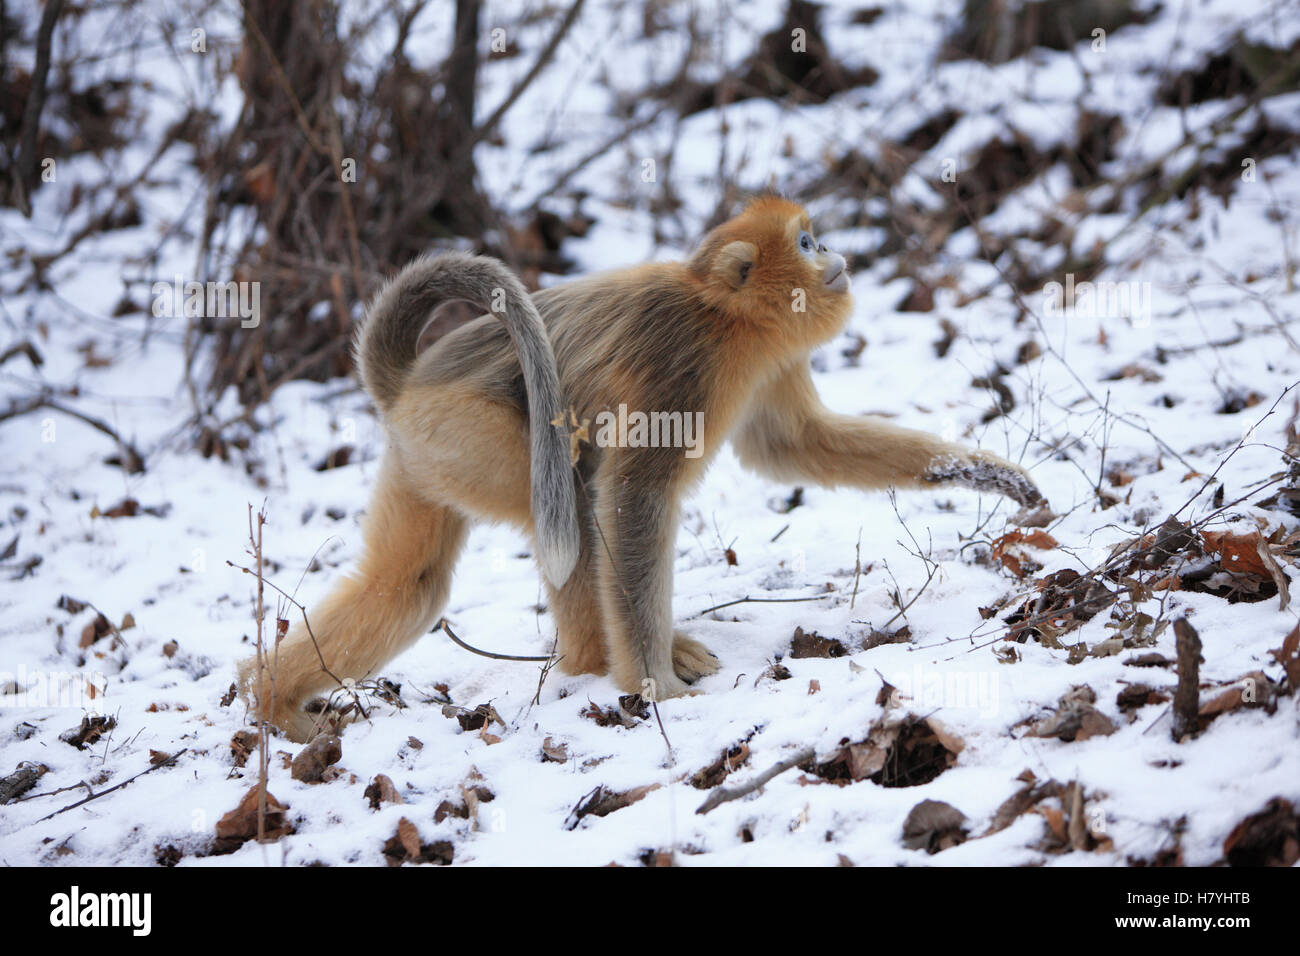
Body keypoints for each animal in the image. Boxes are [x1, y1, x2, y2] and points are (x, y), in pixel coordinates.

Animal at [239, 197, 1043, 742]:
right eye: (807, 241)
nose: (836, 258)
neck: (725, 317)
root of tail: (407, 382)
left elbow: (793, 445)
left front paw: (984, 474)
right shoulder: (682, 362)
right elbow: (633, 494)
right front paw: (656, 689)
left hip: (422, 454)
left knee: (407, 584)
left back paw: (271, 700)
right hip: (465, 434)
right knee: (570, 508)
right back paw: (598, 666)